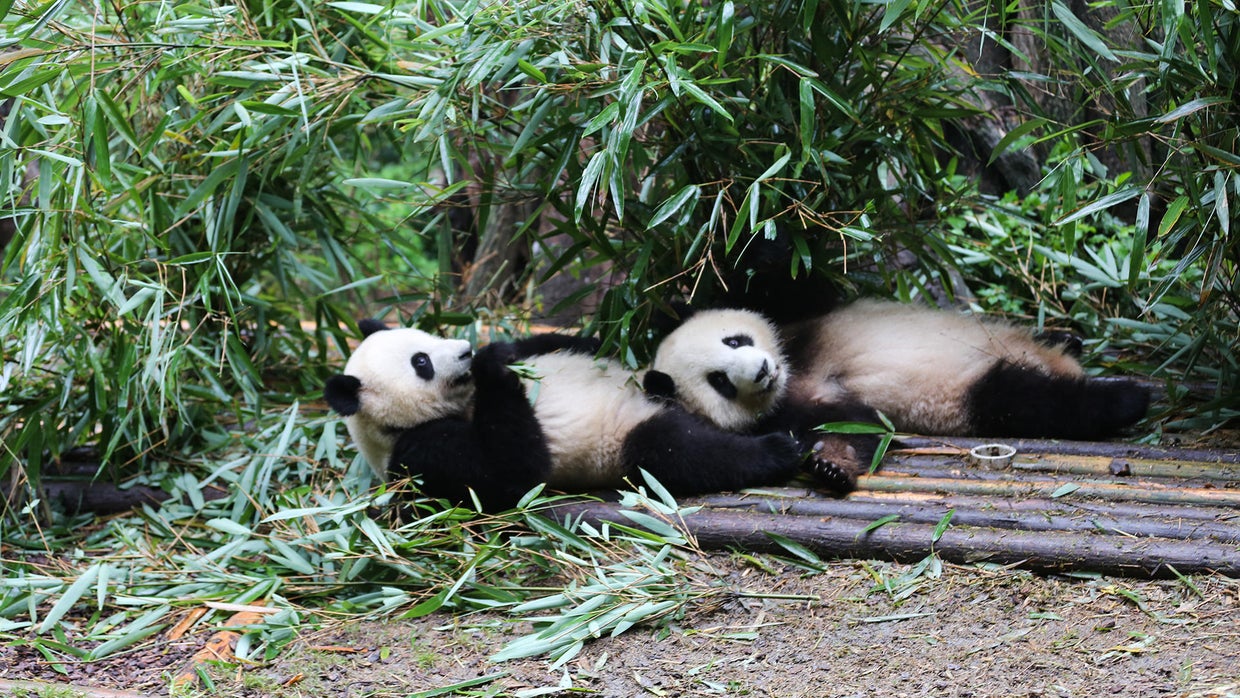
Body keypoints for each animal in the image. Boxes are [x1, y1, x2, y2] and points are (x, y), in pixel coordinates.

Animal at [323, 323, 806, 512]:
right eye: (420, 363)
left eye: (424, 335)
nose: (464, 351)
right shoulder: (421, 450)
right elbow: (512, 475)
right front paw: (492, 366)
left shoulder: (542, 346)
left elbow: (563, 342)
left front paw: (497, 353)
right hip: (625, 438)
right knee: (684, 450)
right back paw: (778, 448)